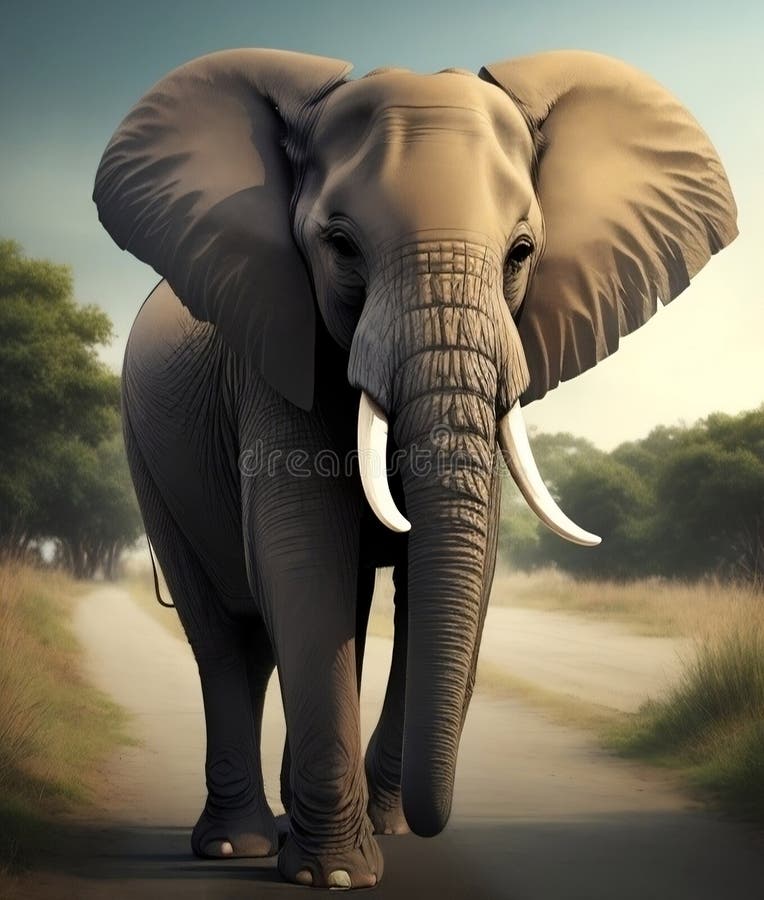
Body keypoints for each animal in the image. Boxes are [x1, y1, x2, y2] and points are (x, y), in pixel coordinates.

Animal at [93, 48, 736, 889]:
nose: (428, 825)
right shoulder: (273, 344)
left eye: (521, 253)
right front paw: (335, 875)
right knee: (226, 635)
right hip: (145, 451)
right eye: (340, 245)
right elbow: (303, 554)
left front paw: (379, 832)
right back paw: (242, 845)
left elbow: (454, 563)